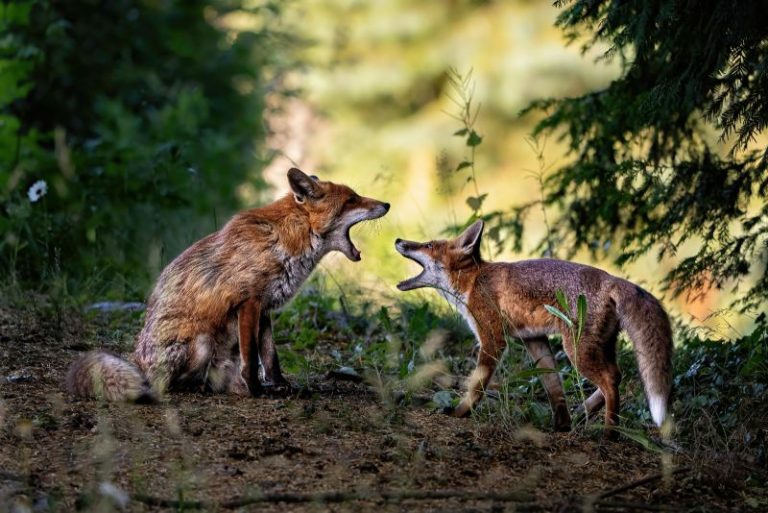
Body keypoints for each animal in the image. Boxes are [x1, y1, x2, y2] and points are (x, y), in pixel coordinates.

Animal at [67, 168, 389, 401]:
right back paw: (201, 388)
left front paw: (280, 386)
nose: (386, 203)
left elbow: (270, 357)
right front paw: (257, 392)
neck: (284, 240)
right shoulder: (248, 302)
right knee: (167, 385)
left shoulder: (265, 308)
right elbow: (252, 359)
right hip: (201, 342)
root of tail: (138, 361)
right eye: (351, 200)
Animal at [394, 220, 673, 435]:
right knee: (617, 375)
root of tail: (612, 279)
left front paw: (460, 412)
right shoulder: (534, 340)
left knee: (610, 379)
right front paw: (562, 426)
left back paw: (609, 433)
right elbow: (553, 387)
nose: (398, 240)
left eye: (428, 245)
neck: (473, 282)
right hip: (597, 347)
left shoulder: (492, 338)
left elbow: (477, 385)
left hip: (576, 350)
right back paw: (584, 412)